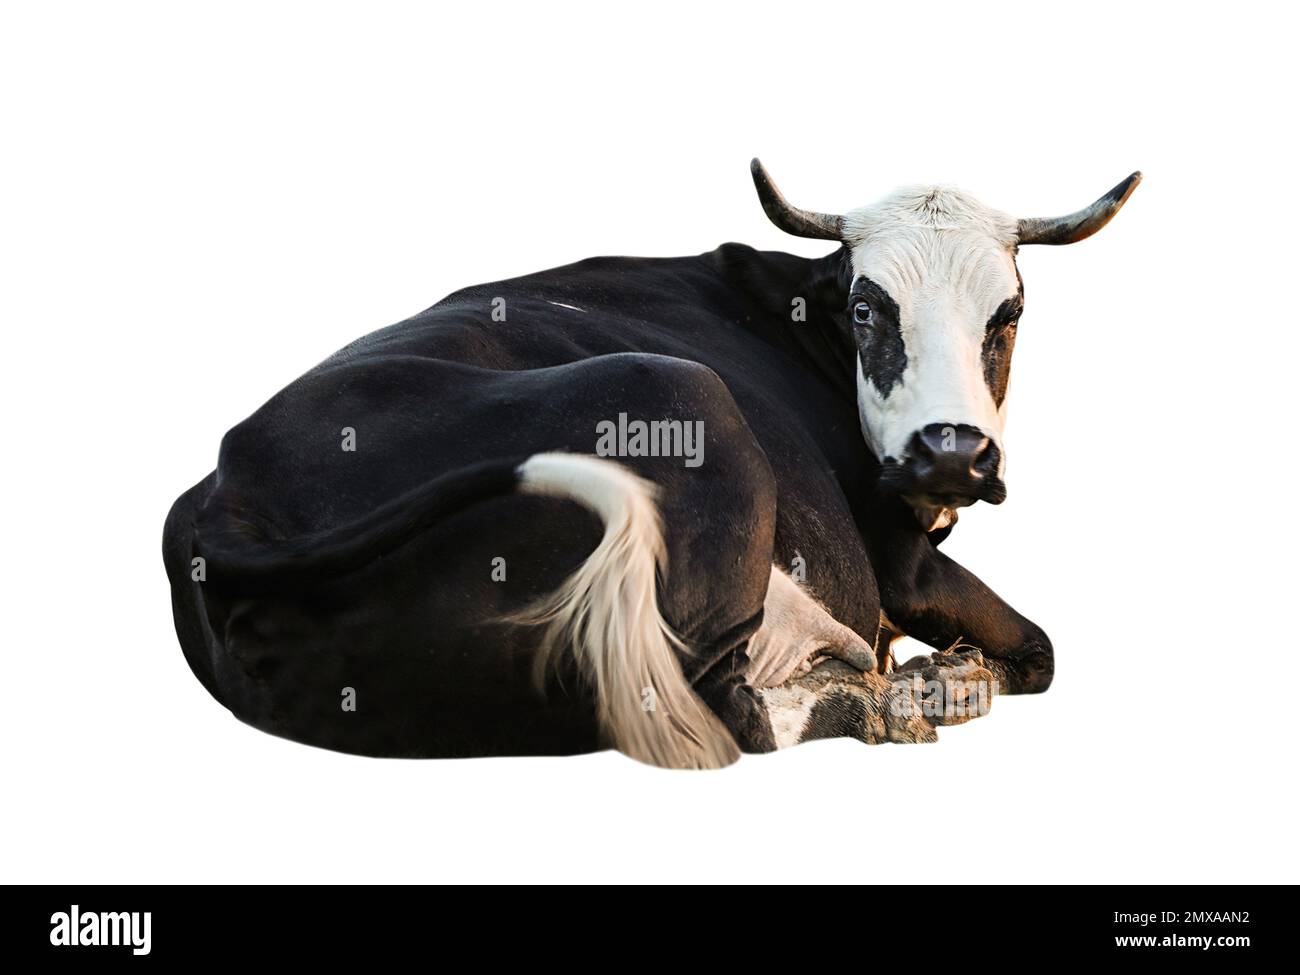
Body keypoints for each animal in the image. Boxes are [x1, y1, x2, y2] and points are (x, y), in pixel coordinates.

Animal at [163, 160, 1139, 768]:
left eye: (1008, 314)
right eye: (867, 309)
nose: (952, 452)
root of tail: (230, 490)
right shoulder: (897, 558)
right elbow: (1040, 650)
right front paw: (949, 675)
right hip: (682, 396)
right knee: (730, 710)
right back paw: (898, 699)